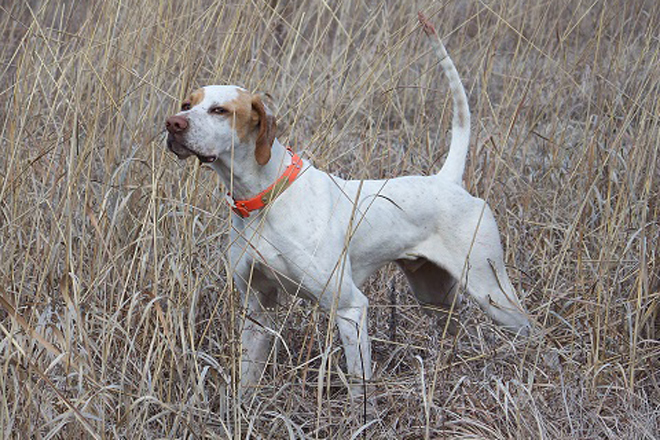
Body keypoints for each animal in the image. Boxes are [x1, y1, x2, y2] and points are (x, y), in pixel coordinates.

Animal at [166, 13, 532, 398]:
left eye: (219, 110)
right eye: (187, 104)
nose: (172, 123)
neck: (266, 198)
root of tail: (446, 180)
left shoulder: (350, 308)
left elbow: (359, 384)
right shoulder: (257, 309)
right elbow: (248, 379)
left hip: (493, 293)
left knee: (529, 329)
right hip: (435, 296)